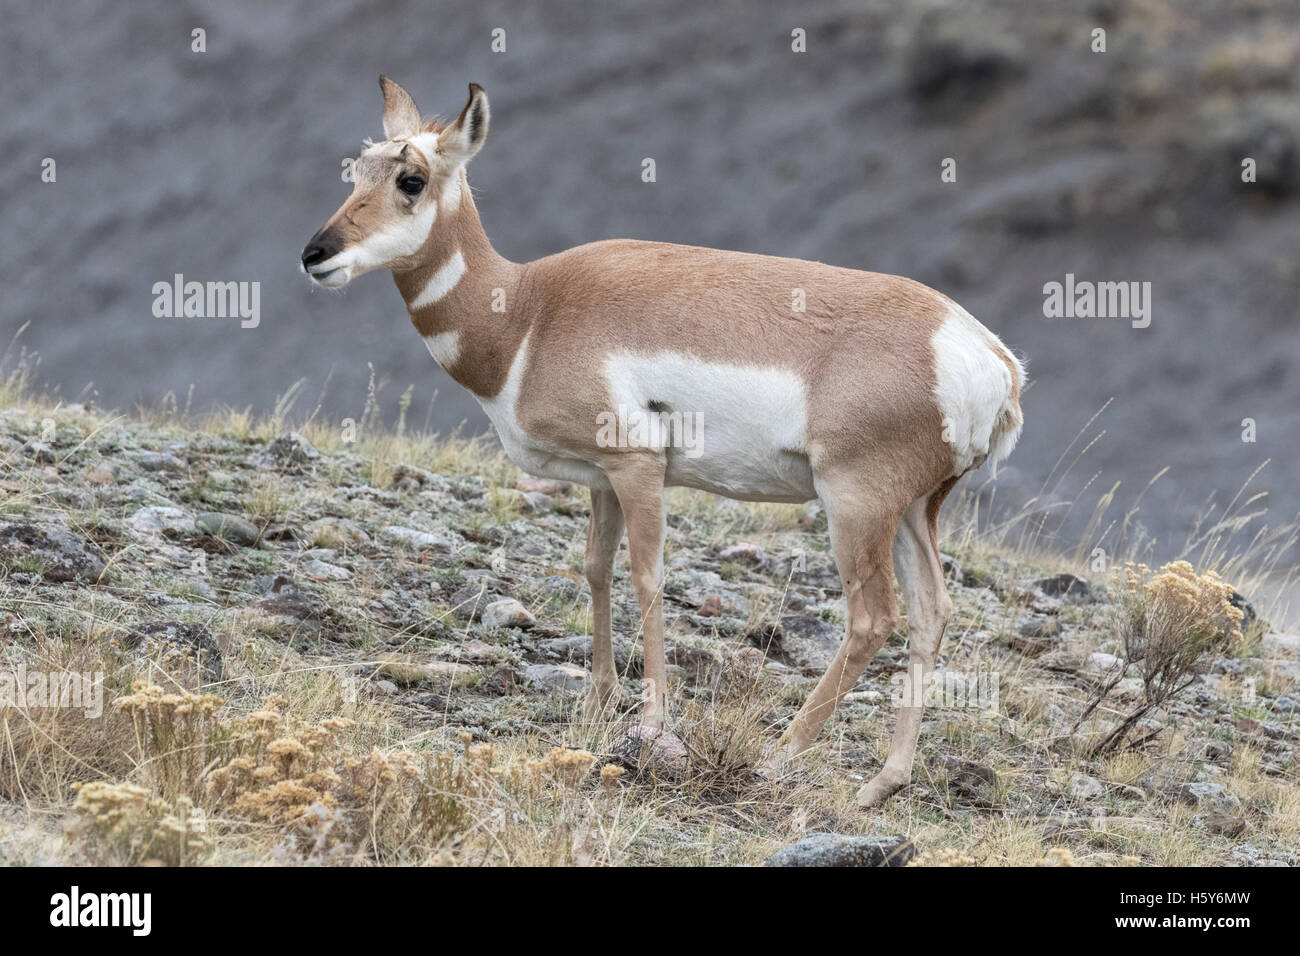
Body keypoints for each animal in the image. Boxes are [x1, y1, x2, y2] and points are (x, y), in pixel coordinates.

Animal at [301, 78, 1025, 807]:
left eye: (411, 179)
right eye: (356, 171)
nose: (315, 254)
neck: (528, 313)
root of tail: (986, 354)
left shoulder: (637, 468)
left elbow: (647, 577)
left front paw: (650, 720)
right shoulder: (600, 479)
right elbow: (595, 568)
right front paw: (597, 699)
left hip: (857, 505)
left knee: (873, 618)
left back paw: (779, 756)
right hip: (914, 510)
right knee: (932, 612)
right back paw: (881, 784)